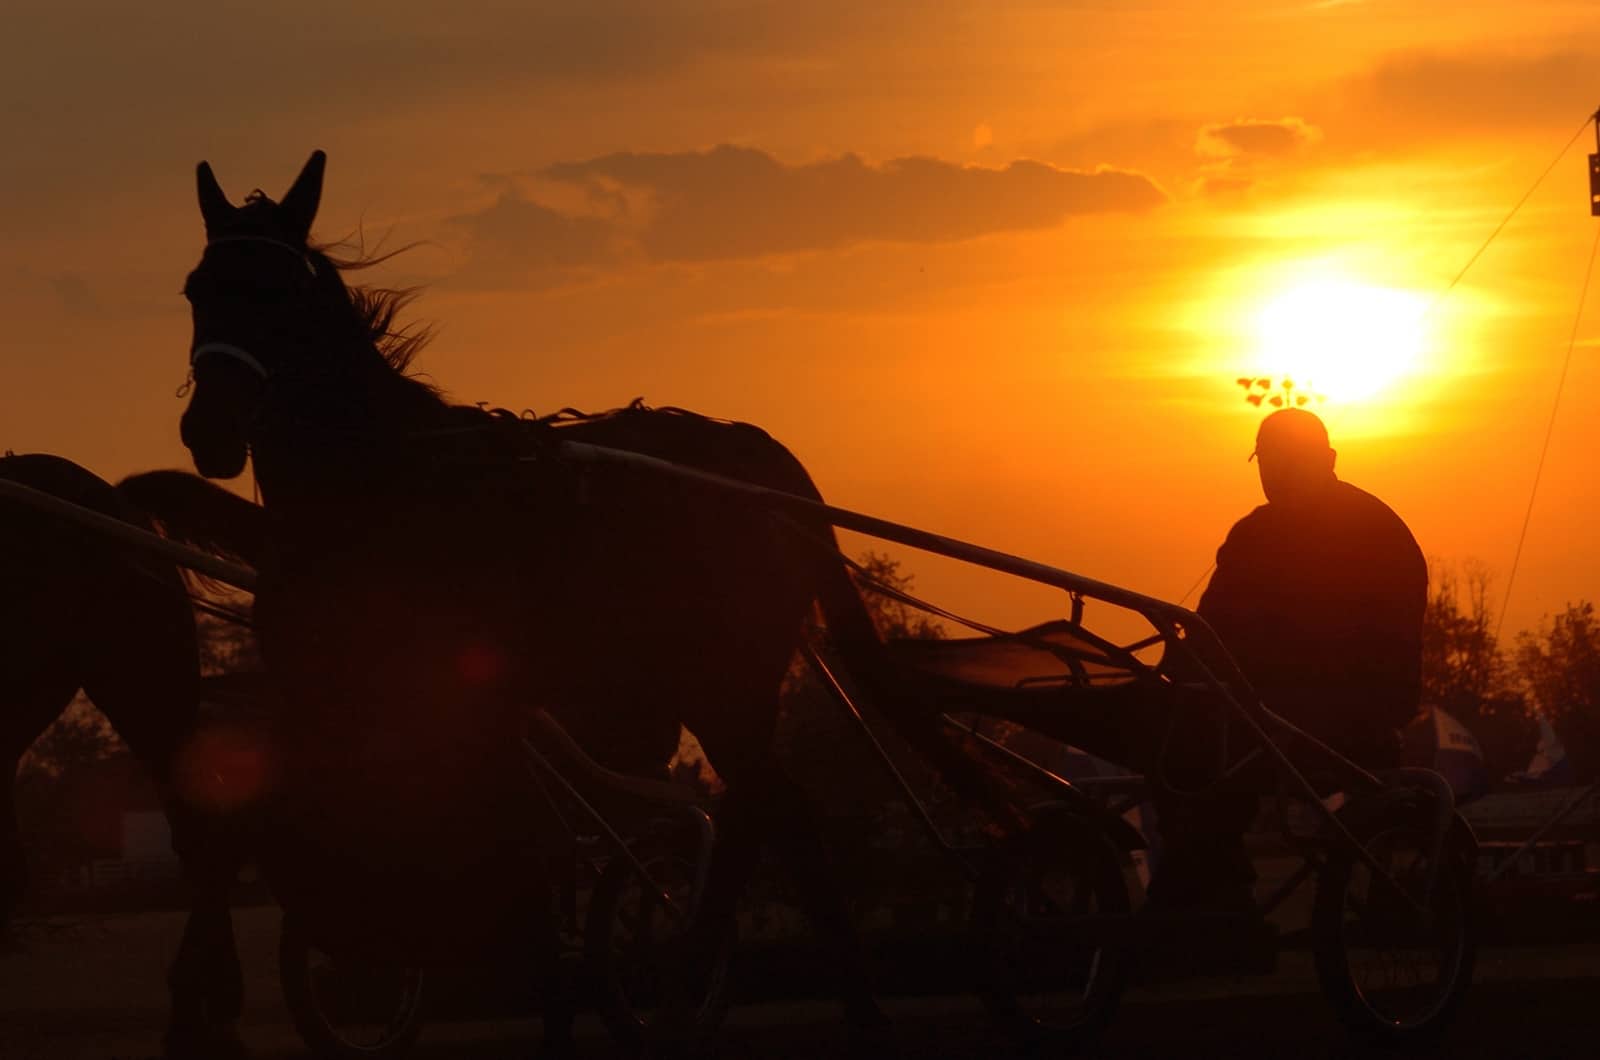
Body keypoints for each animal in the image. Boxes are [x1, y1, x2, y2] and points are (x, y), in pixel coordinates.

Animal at [140, 148, 1019, 1054]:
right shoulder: (340, 700)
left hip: (726, 679)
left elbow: (510, 854)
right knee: (781, 815)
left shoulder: (453, 703)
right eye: (197, 287)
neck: (383, 489)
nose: (210, 428)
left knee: (767, 808)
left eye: (280, 292)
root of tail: (761, 459)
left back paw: (700, 978)